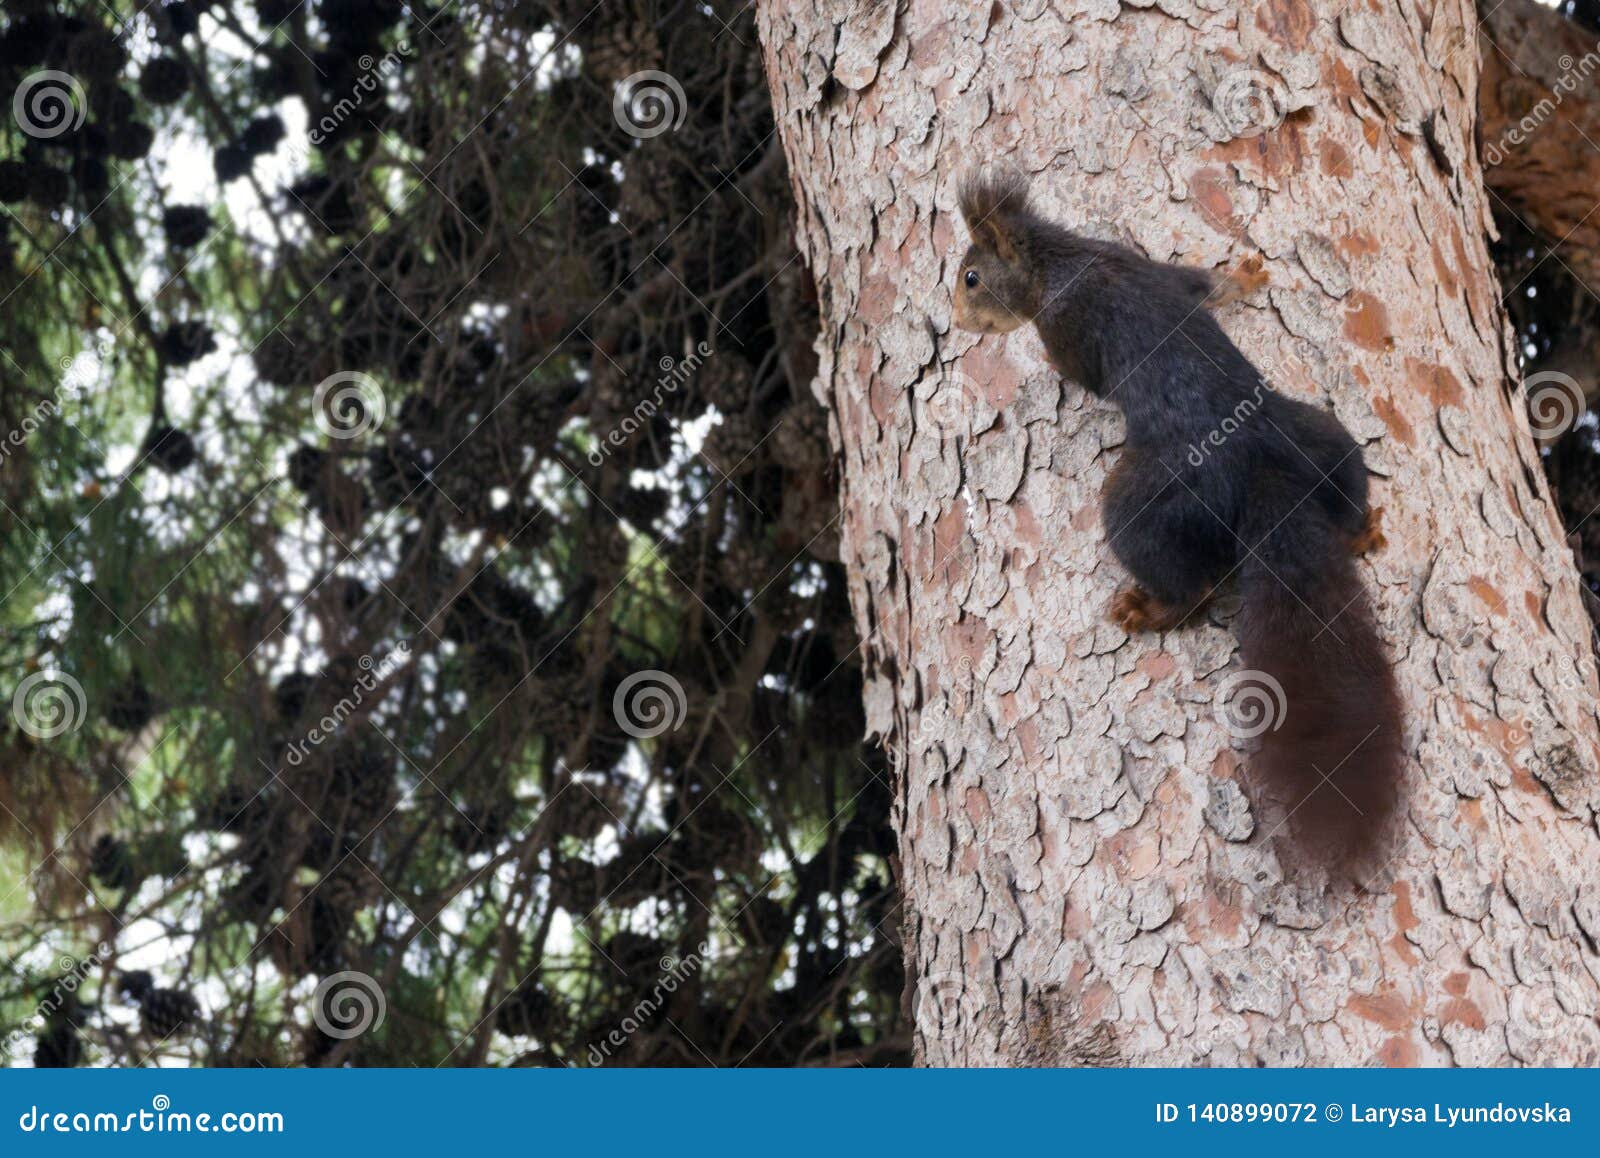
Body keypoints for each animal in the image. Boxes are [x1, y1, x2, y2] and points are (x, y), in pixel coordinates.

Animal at [951, 171, 1402, 872]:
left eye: (971, 278)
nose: (953, 317)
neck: (1062, 261)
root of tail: (1260, 476)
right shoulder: (1160, 272)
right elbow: (1205, 286)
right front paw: (1245, 273)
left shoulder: (1065, 325)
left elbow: (1078, 370)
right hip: (1322, 436)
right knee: (1345, 476)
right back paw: (1363, 528)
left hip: (1142, 506)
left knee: (1194, 586)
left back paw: (1148, 608)